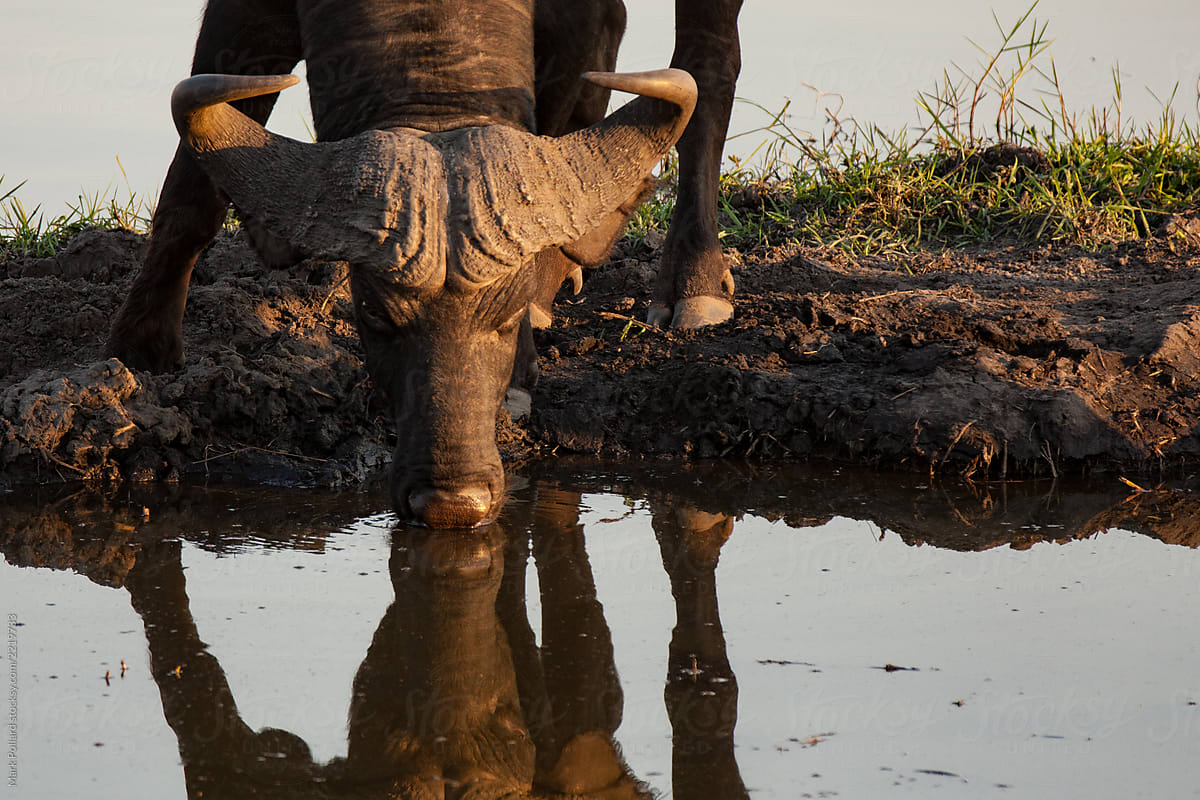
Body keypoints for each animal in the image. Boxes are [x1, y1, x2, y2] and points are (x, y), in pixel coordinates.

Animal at [107, 0, 742, 527]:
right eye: (374, 317)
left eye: (504, 318)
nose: (453, 504)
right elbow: (191, 191)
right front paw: (140, 348)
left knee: (710, 61)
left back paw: (693, 282)